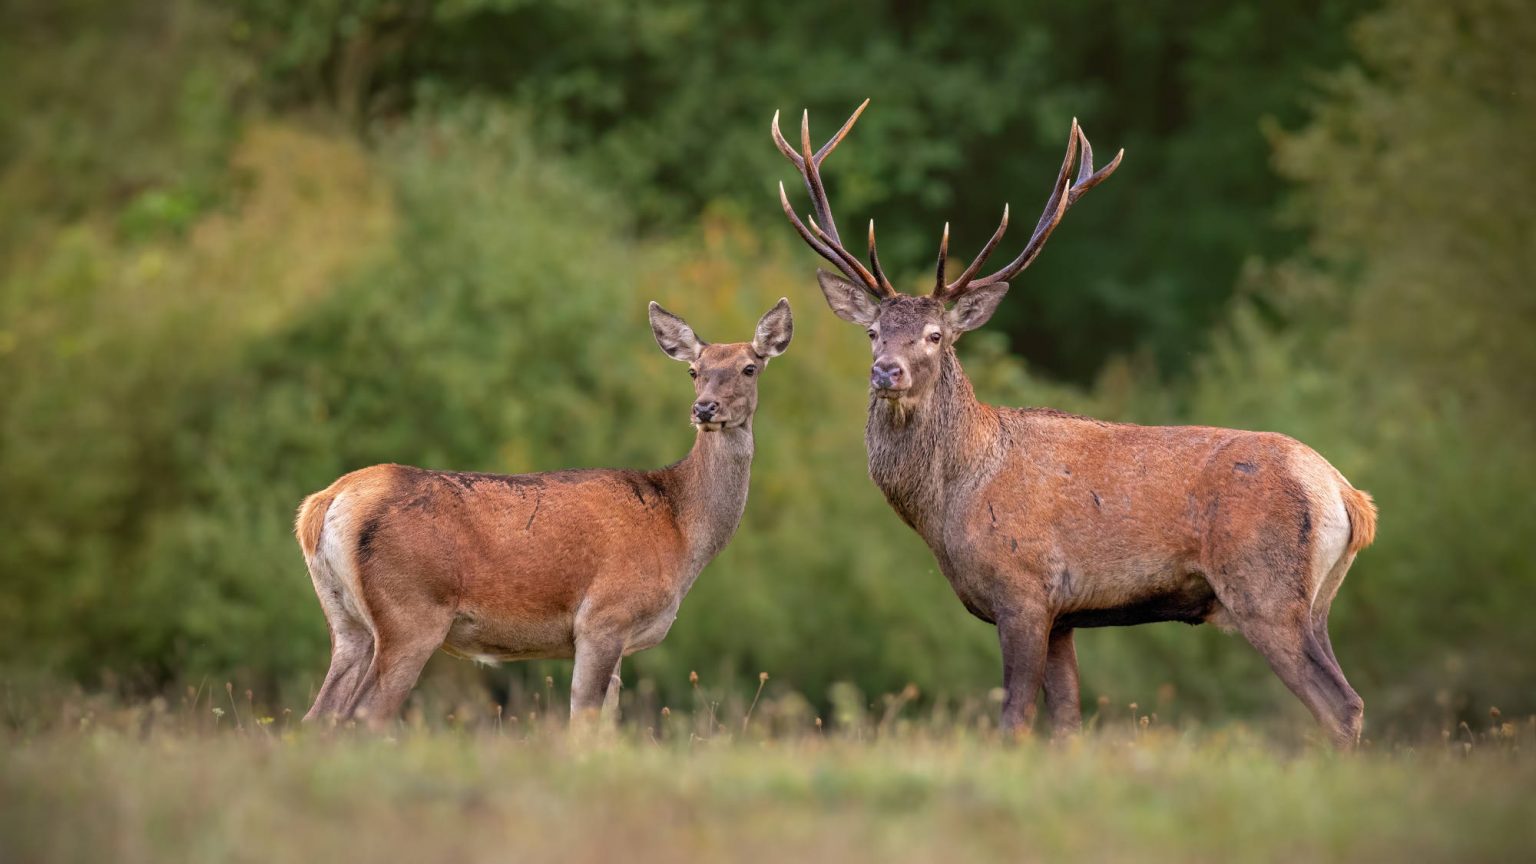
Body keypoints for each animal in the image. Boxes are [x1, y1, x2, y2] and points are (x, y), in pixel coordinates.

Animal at [294, 299, 794, 727]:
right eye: (694, 371)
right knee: (360, 717)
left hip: (346, 621)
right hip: (410, 614)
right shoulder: (604, 617)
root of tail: (324, 504)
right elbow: (583, 723)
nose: (704, 408)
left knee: (317, 716)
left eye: (749, 367)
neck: (681, 530)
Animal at [773, 100, 1378, 747]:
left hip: (1265, 588)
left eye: (935, 336)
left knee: (1340, 703)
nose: (886, 370)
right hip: (1317, 601)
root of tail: (1346, 494)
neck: (952, 501)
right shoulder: (1065, 616)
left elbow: (1014, 718)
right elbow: (1066, 724)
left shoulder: (1024, 590)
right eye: (872, 331)